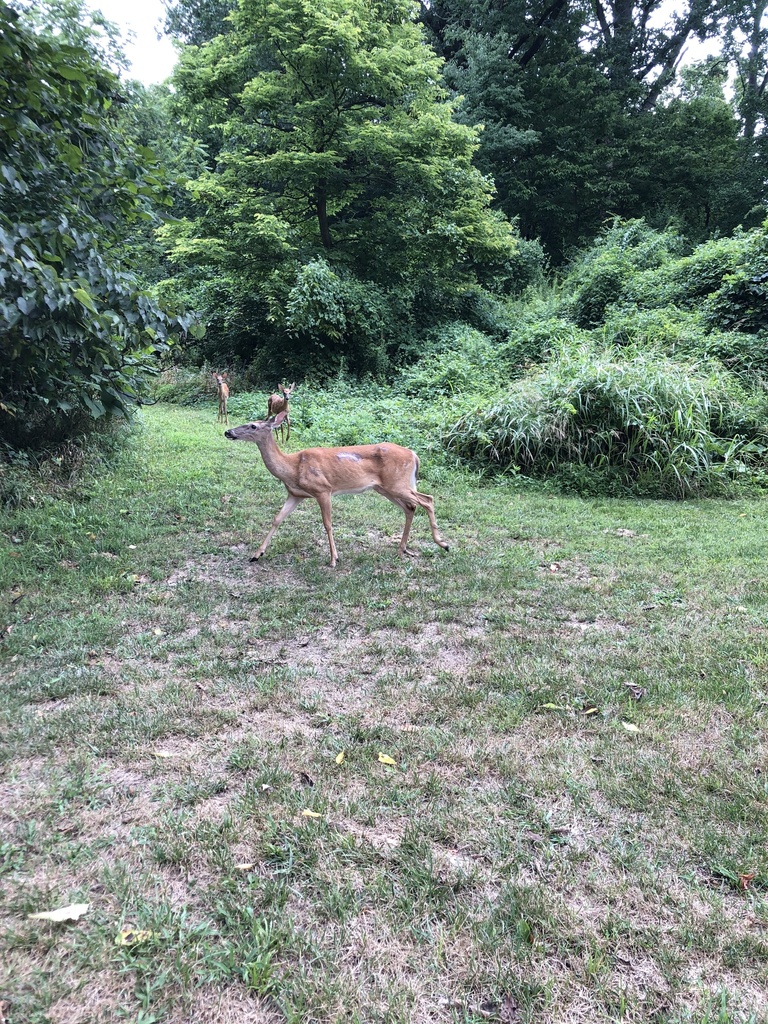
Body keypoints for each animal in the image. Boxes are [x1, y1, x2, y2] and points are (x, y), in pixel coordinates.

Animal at [224, 411, 450, 567]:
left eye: (253, 426)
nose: (228, 432)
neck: (292, 468)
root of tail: (414, 455)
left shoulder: (323, 489)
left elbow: (328, 524)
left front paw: (334, 559)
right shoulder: (296, 494)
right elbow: (277, 519)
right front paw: (256, 554)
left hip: (397, 483)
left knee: (427, 499)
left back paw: (443, 544)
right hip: (386, 488)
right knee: (411, 507)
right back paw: (402, 549)